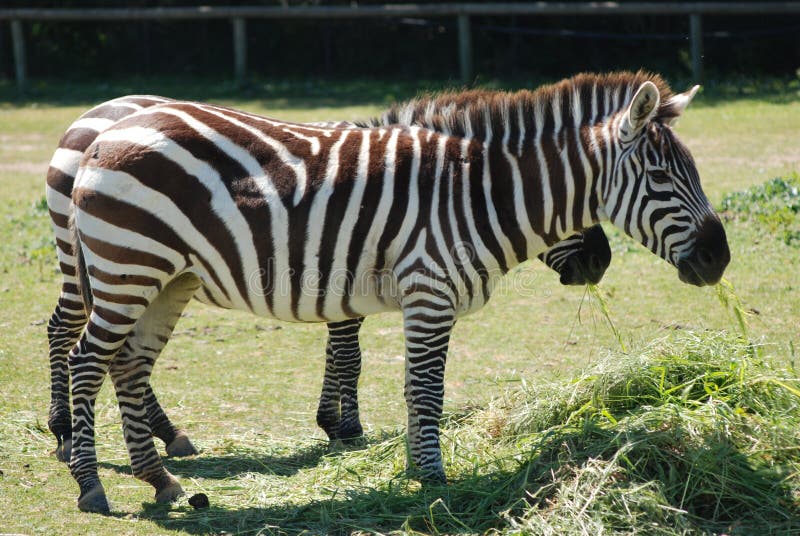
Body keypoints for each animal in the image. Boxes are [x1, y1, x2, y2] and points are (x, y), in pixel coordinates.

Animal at [45, 96, 612, 464]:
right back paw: (67, 433)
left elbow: (343, 350)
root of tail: (91, 118)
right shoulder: (340, 269)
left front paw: (336, 423)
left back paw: (163, 434)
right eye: (569, 205)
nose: (602, 261)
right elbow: (349, 354)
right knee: (66, 330)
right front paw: (344, 426)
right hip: (100, 260)